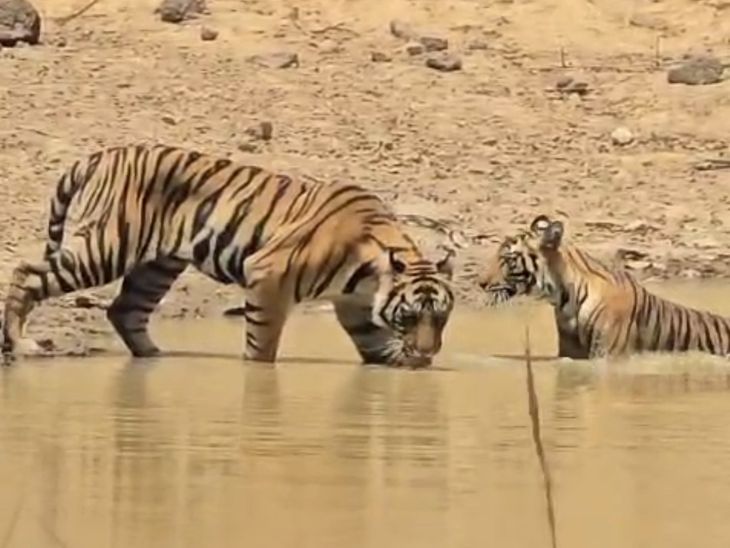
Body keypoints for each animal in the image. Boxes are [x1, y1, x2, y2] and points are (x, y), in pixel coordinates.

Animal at [2, 143, 456, 368]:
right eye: (410, 317)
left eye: (441, 318)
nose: (428, 352)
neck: (370, 274)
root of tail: (99, 155)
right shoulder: (268, 277)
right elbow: (262, 345)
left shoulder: (354, 306)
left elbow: (373, 343)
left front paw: (404, 364)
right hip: (105, 249)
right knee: (26, 273)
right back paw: (21, 344)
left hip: (158, 265)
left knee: (124, 309)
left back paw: (155, 357)